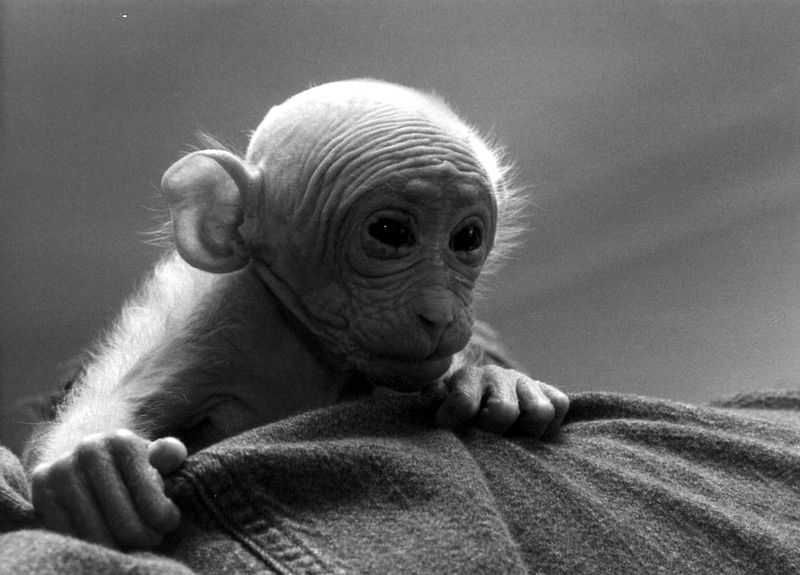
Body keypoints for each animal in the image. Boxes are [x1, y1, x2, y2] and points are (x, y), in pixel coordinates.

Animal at [26, 80, 570, 551]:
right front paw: (95, 469)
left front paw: (492, 380)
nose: (437, 311)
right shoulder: (214, 316)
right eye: (390, 232)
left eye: (467, 239)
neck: (307, 347)